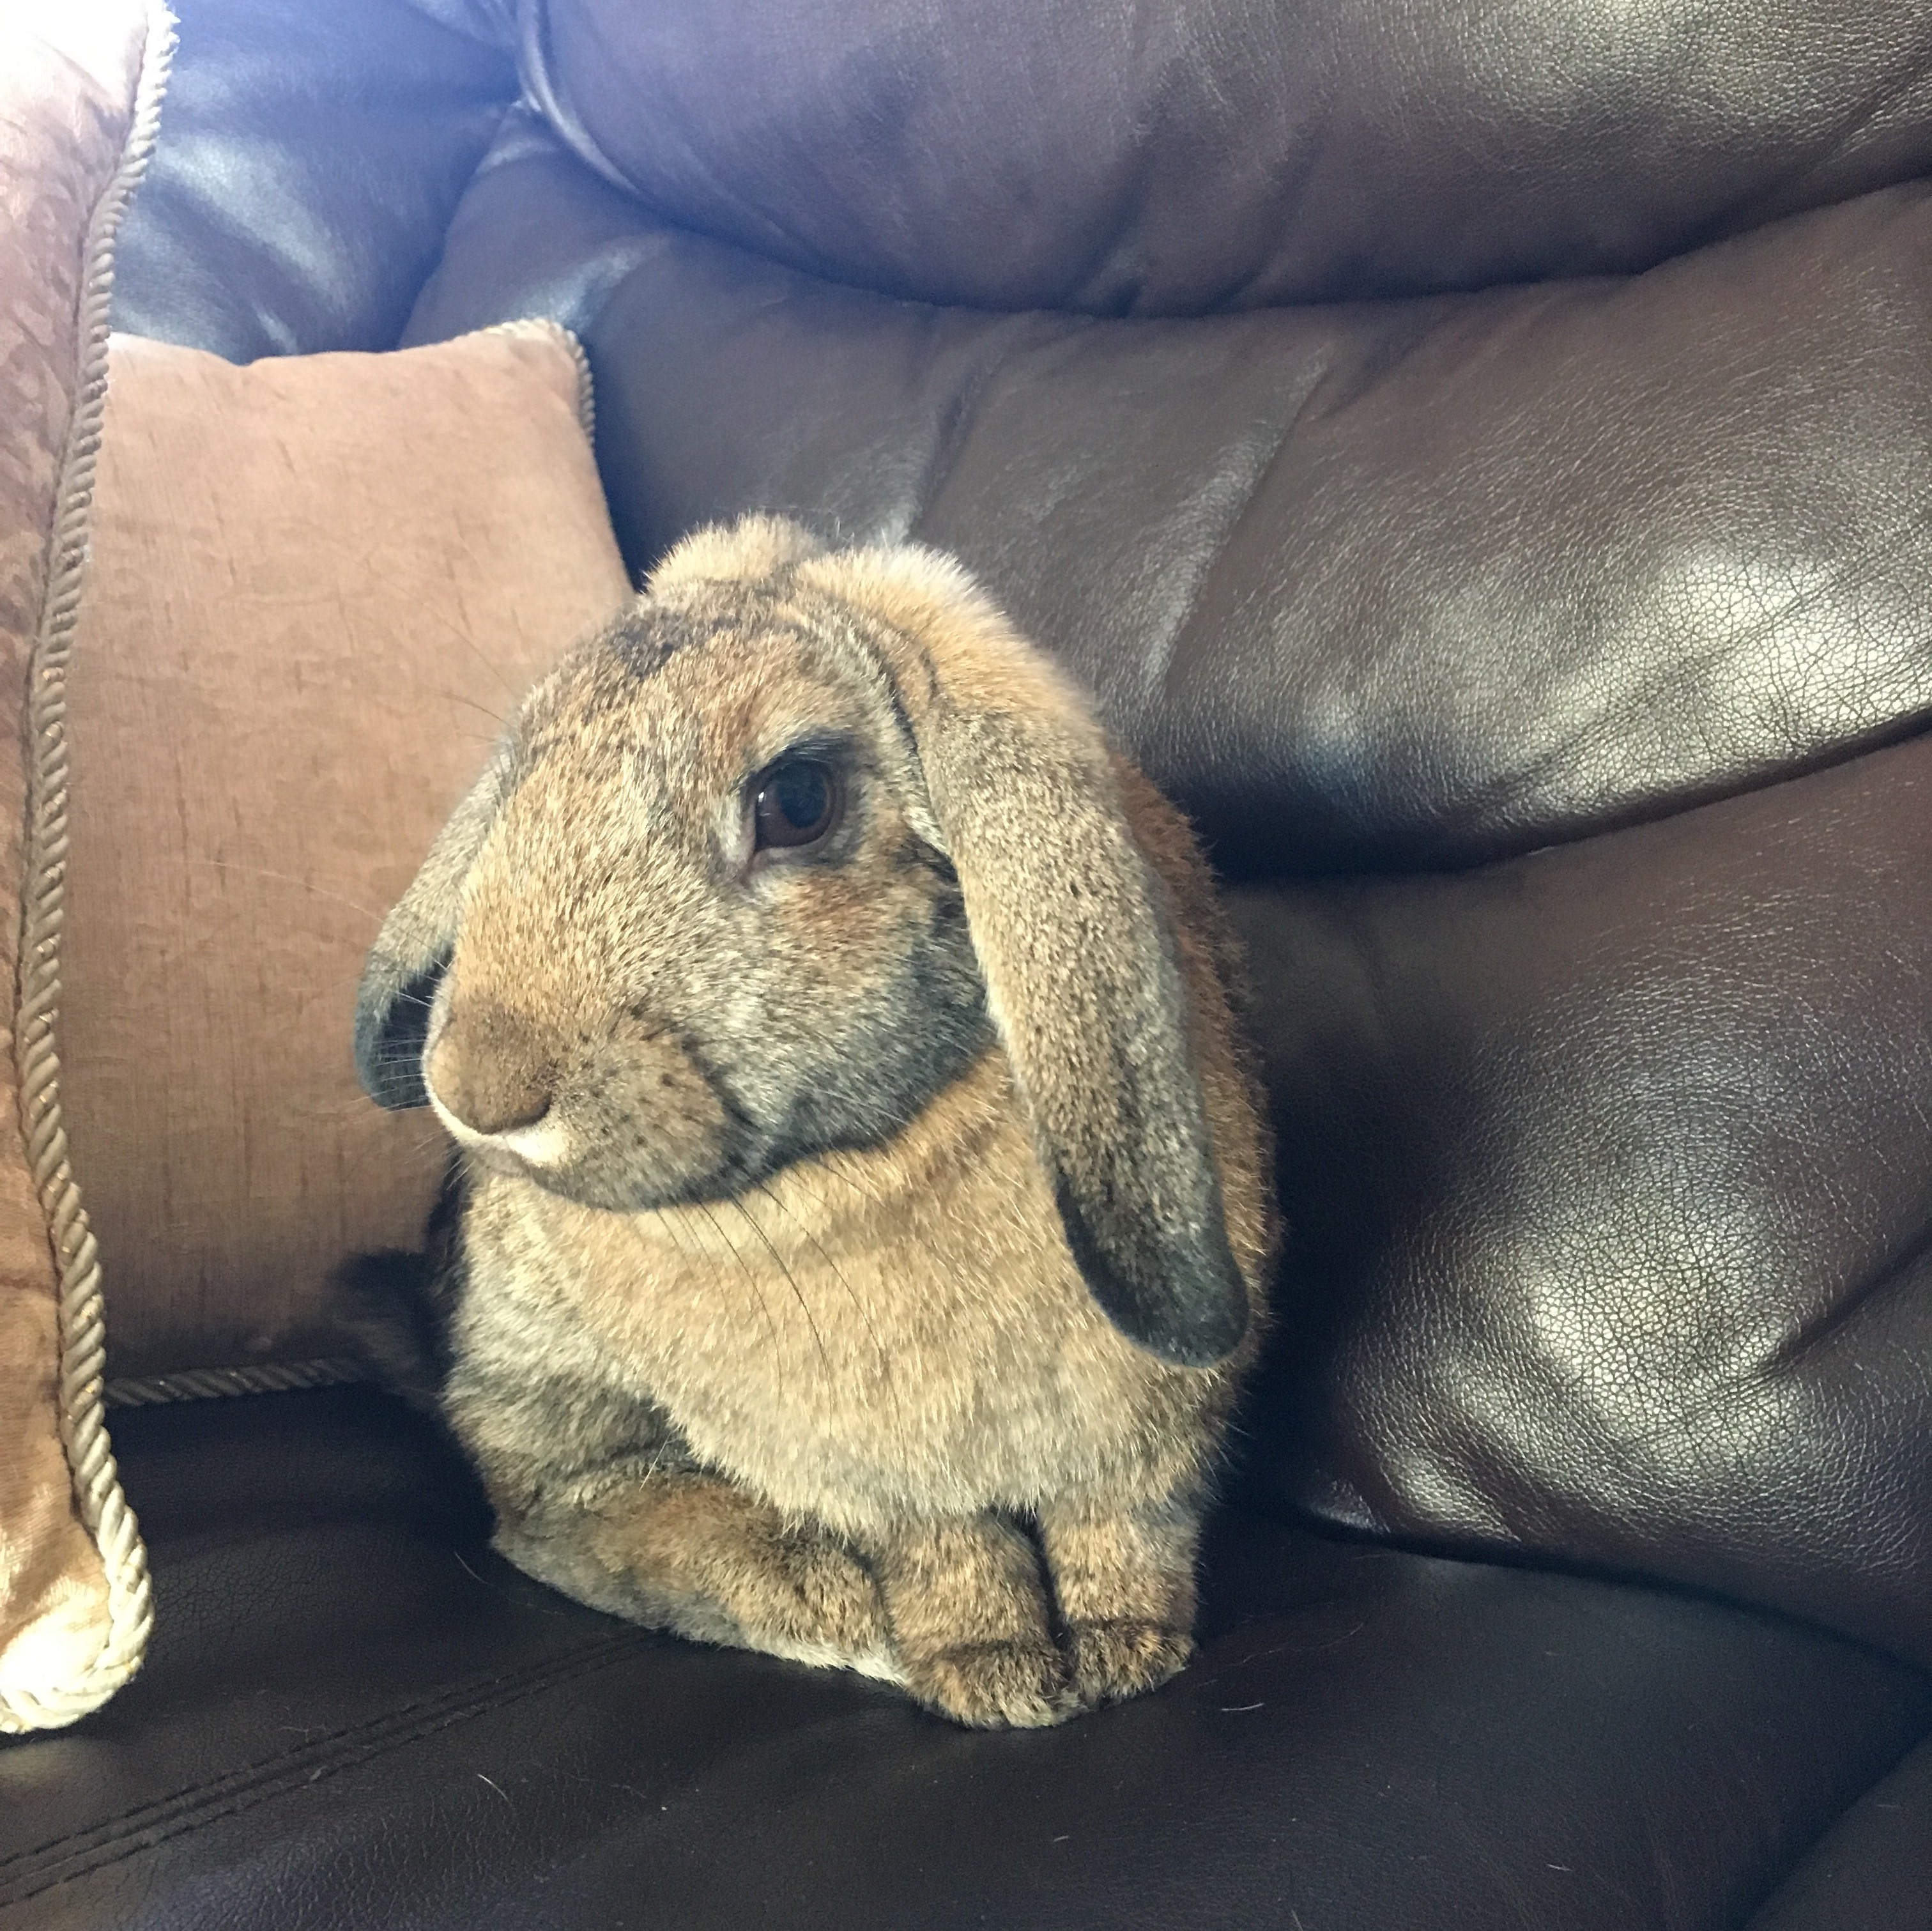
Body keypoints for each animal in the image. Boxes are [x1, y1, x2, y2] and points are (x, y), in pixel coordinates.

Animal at [350, 514, 1279, 1729]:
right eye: (520, 777)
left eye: (795, 801)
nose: (475, 1086)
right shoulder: (893, 1487)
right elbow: (950, 1551)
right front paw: (992, 1674)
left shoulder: (1142, 1454)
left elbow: (1124, 1533)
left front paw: (1130, 1652)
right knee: (546, 1511)